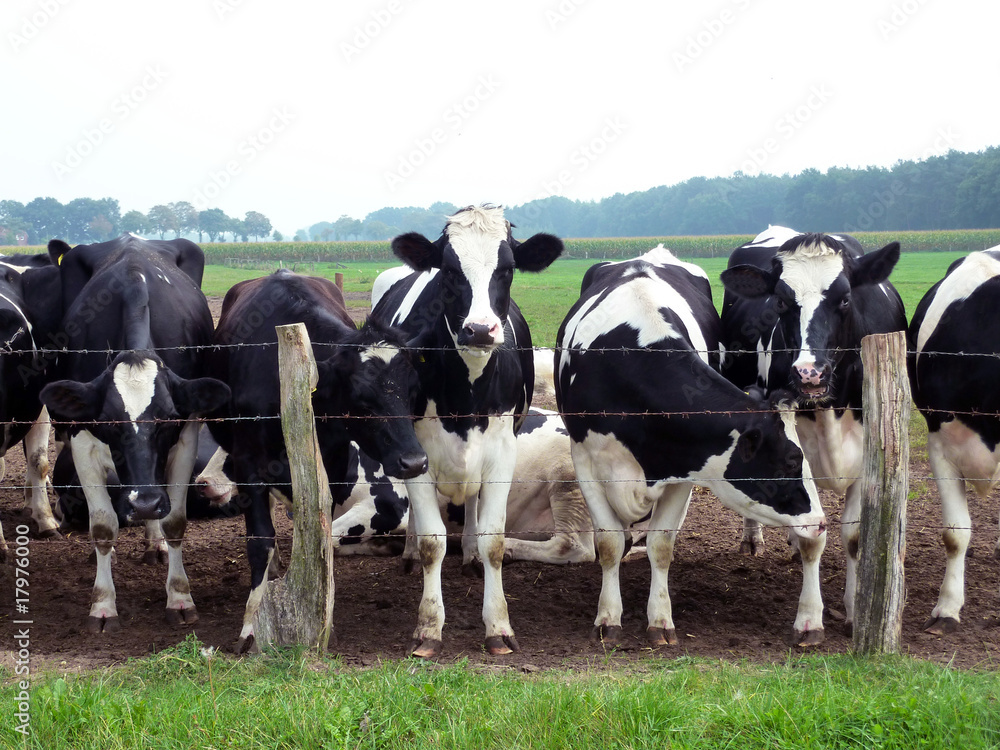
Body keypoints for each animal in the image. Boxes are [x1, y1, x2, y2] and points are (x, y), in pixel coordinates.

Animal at [38, 235, 230, 633]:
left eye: (168, 418)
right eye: (109, 421)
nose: (143, 503)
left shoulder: (187, 431)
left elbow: (175, 519)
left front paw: (180, 597)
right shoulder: (81, 433)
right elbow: (103, 526)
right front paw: (102, 605)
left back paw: (155, 543)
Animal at [205, 269, 428, 653]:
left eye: (413, 391)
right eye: (363, 400)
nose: (414, 462)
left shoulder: (333, 465)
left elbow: (321, 534)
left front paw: (322, 615)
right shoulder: (250, 465)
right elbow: (260, 541)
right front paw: (251, 624)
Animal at [370, 204, 563, 657]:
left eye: (507, 269)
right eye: (449, 270)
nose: (479, 330)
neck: (466, 392)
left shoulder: (502, 452)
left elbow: (495, 539)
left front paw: (498, 626)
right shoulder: (417, 453)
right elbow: (432, 541)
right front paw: (428, 628)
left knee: (473, 506)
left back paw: (471, 554)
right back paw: (409, 553)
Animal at [556, 244, 828, 647]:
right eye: (792, 461)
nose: (821, 524)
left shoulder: (682, 470)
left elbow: (661, 545)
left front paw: (660, 620)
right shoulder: (585, 461)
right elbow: (608, 543)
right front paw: (608, 618)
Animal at [719, 227, 905, 632]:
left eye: (846, 299)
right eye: (781, 302)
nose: (809, 373)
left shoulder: (869, 453)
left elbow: (854, 537)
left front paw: (853, 609)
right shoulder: (791, 445)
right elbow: (812, 537)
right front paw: (809, 618)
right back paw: (754, 538)